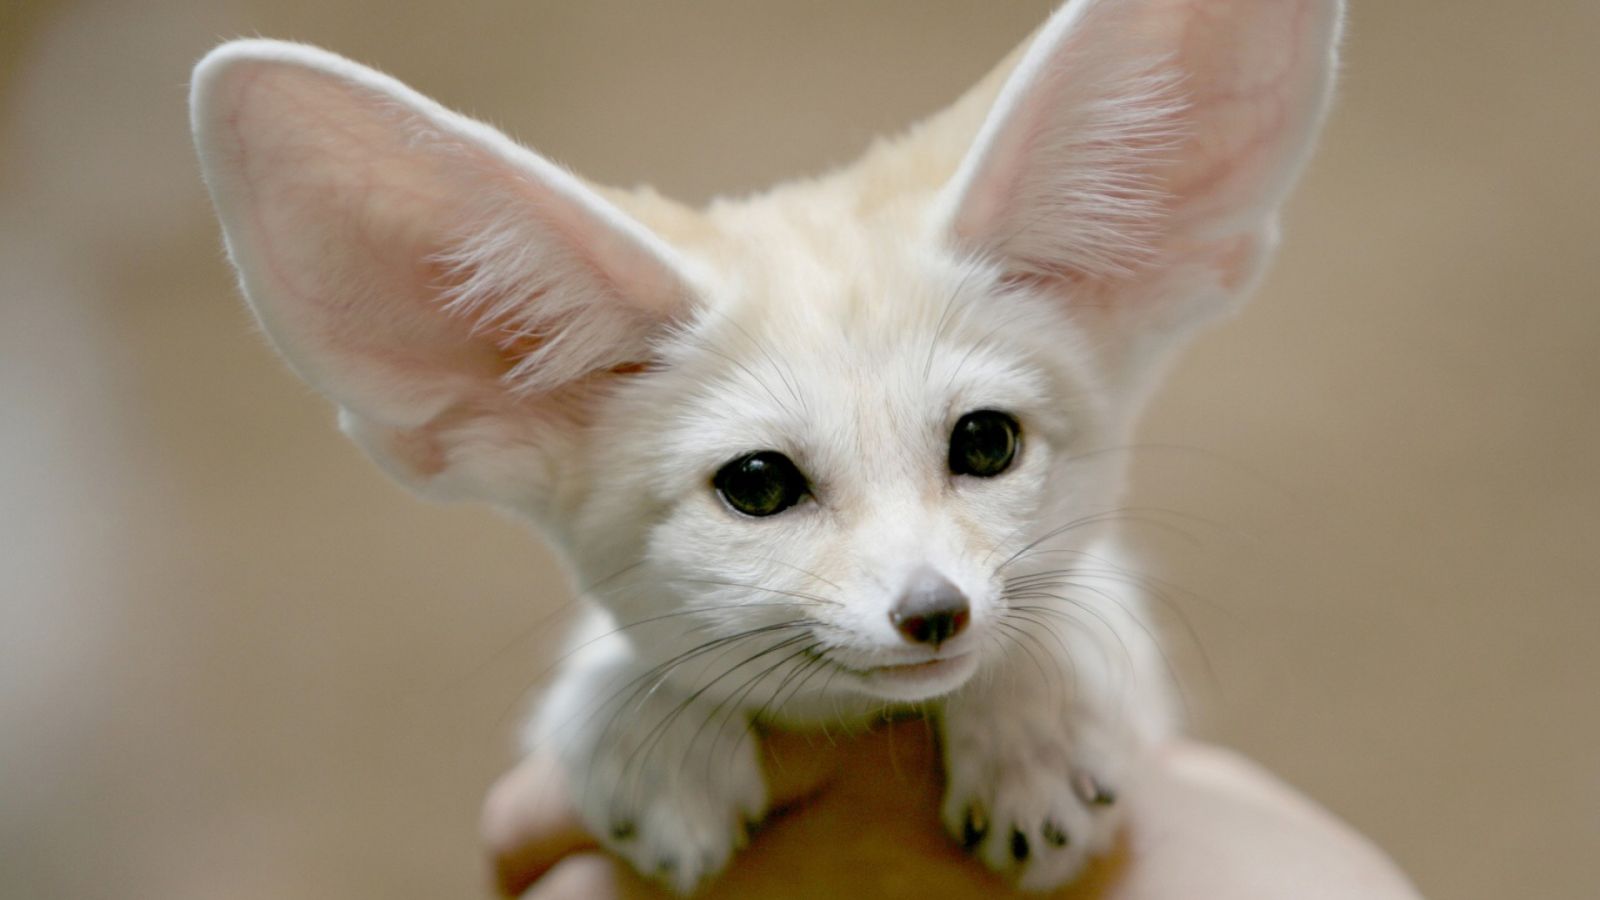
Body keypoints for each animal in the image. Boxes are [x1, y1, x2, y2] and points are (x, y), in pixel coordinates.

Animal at [191, 0, 1343, 893]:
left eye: (984, 442)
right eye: (756, 485)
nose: (934, 612)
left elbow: (1075, 604)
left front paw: (1034, 726)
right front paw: (648, 731)